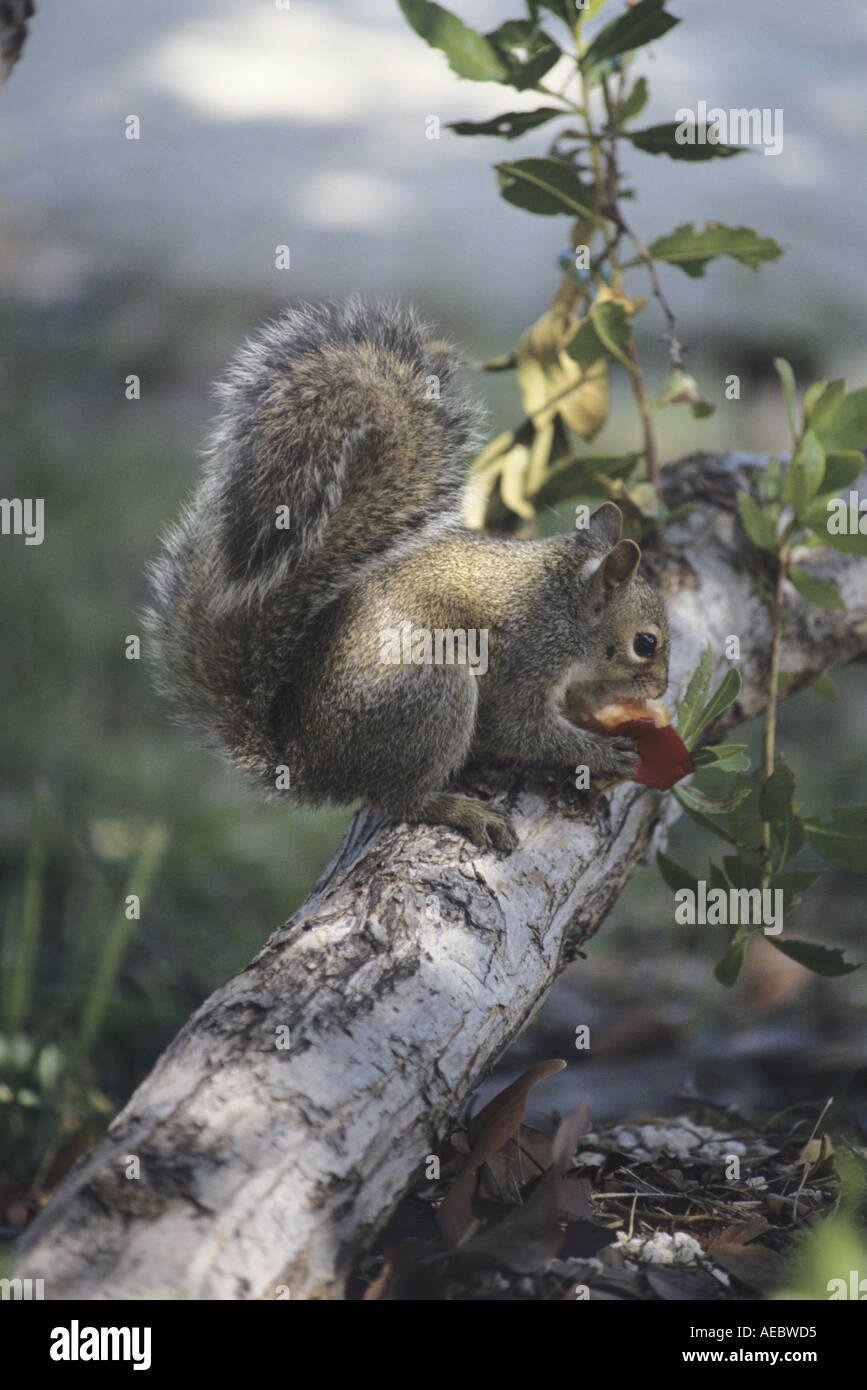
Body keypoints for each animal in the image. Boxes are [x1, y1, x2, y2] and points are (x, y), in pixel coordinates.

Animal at [146, 299, 670, 853]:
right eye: (646, 643)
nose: (660, 689)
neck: (562, 599)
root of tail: (312, 764)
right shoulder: (527, 661)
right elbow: (520, 731)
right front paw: (601, 752)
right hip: (431, 690)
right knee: (396, 799)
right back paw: (458, 808)